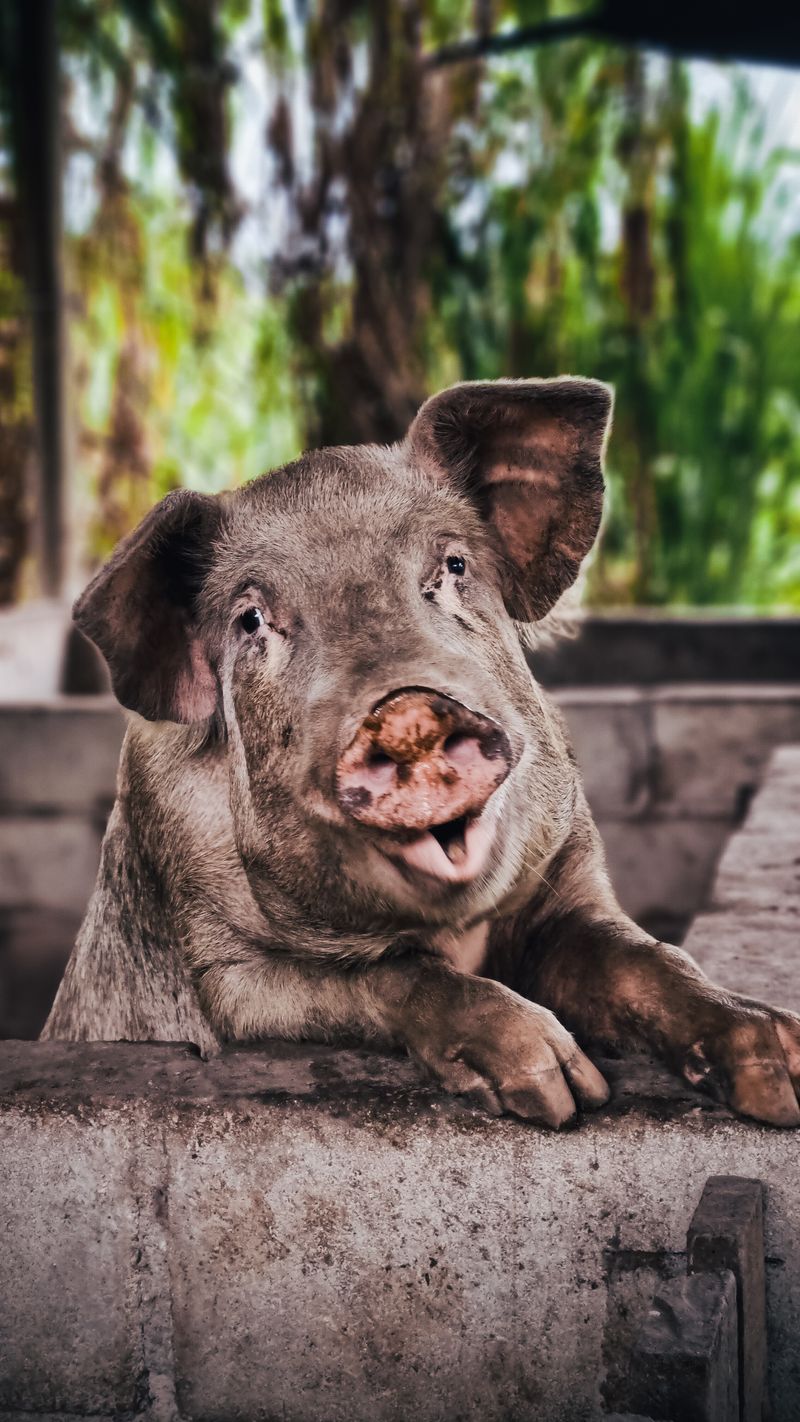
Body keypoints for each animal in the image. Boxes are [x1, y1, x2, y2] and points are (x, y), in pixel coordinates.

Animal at [42, 377, 800, 1130]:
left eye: (453, 565)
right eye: (252, 620)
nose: (405, 711)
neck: (455, 928)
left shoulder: (570, 873)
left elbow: (646, 960)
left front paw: (779, 1078)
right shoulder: (222, 969)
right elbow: (389, 974)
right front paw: (559, 1092)